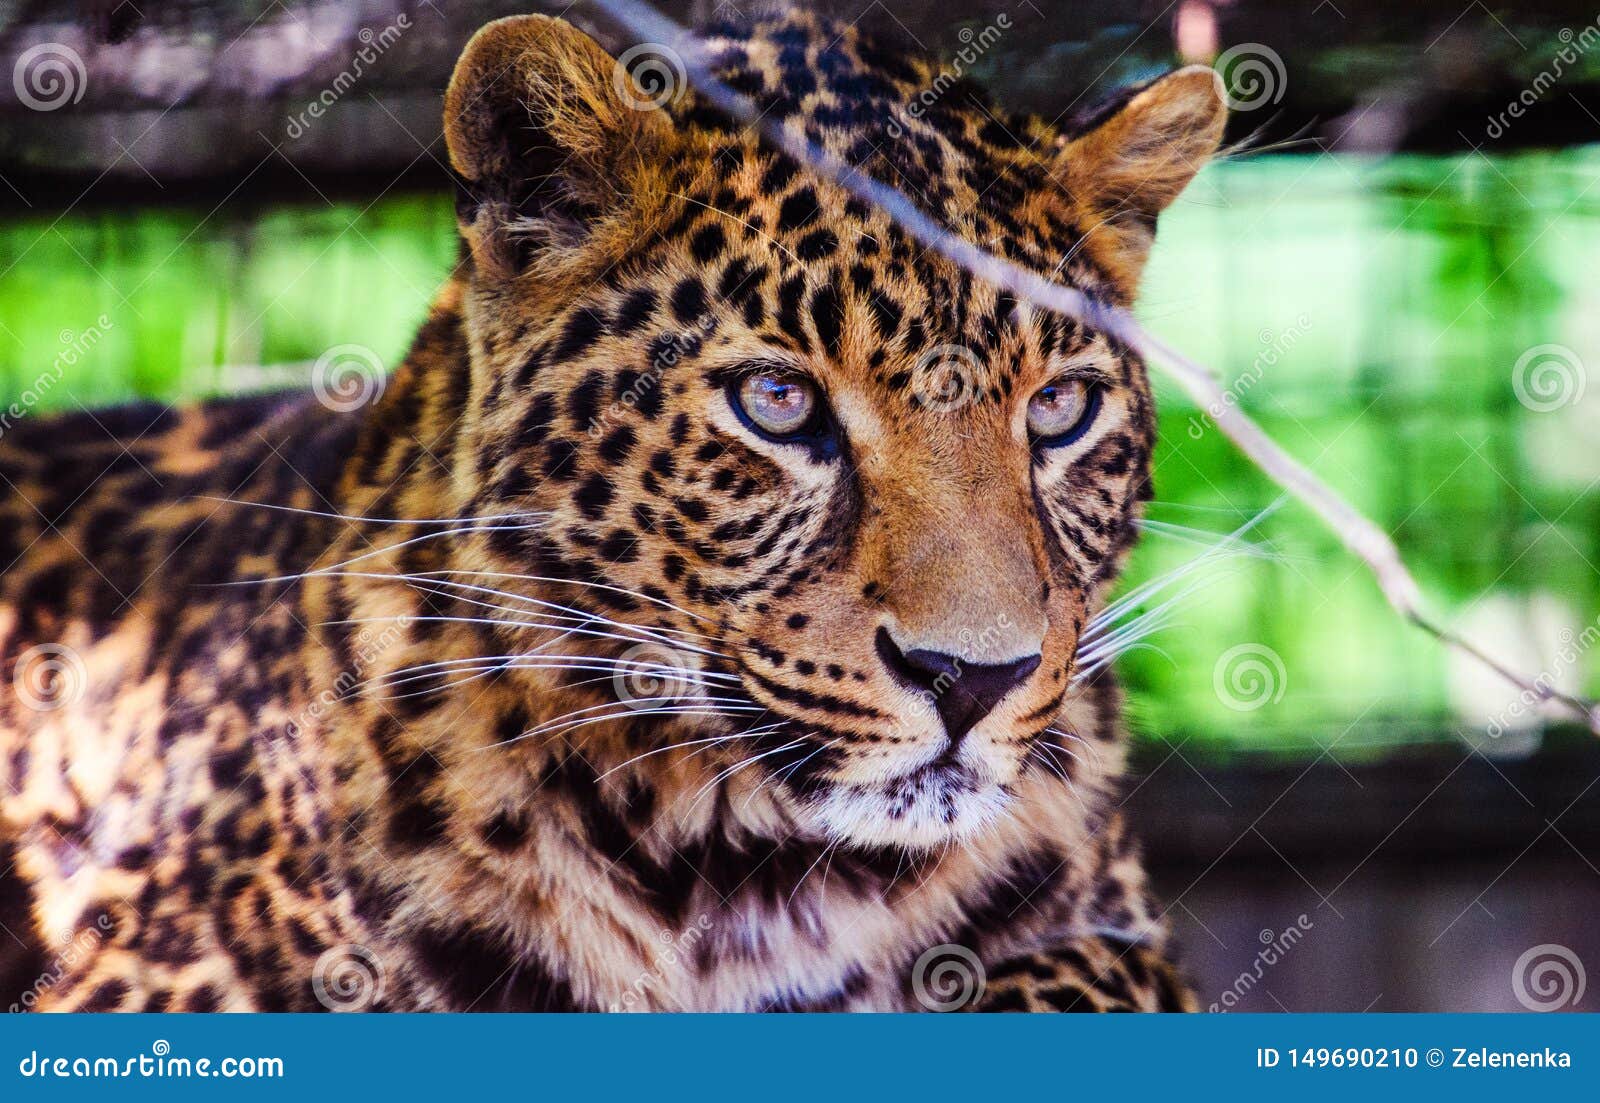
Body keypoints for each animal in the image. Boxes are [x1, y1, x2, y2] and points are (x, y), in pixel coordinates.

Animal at [0, 8, 1225, 1012]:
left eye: (1059, 408)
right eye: (777, 402)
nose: (972, 679)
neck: (744, 886)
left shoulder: (1113, 932)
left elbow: (1086, 977)